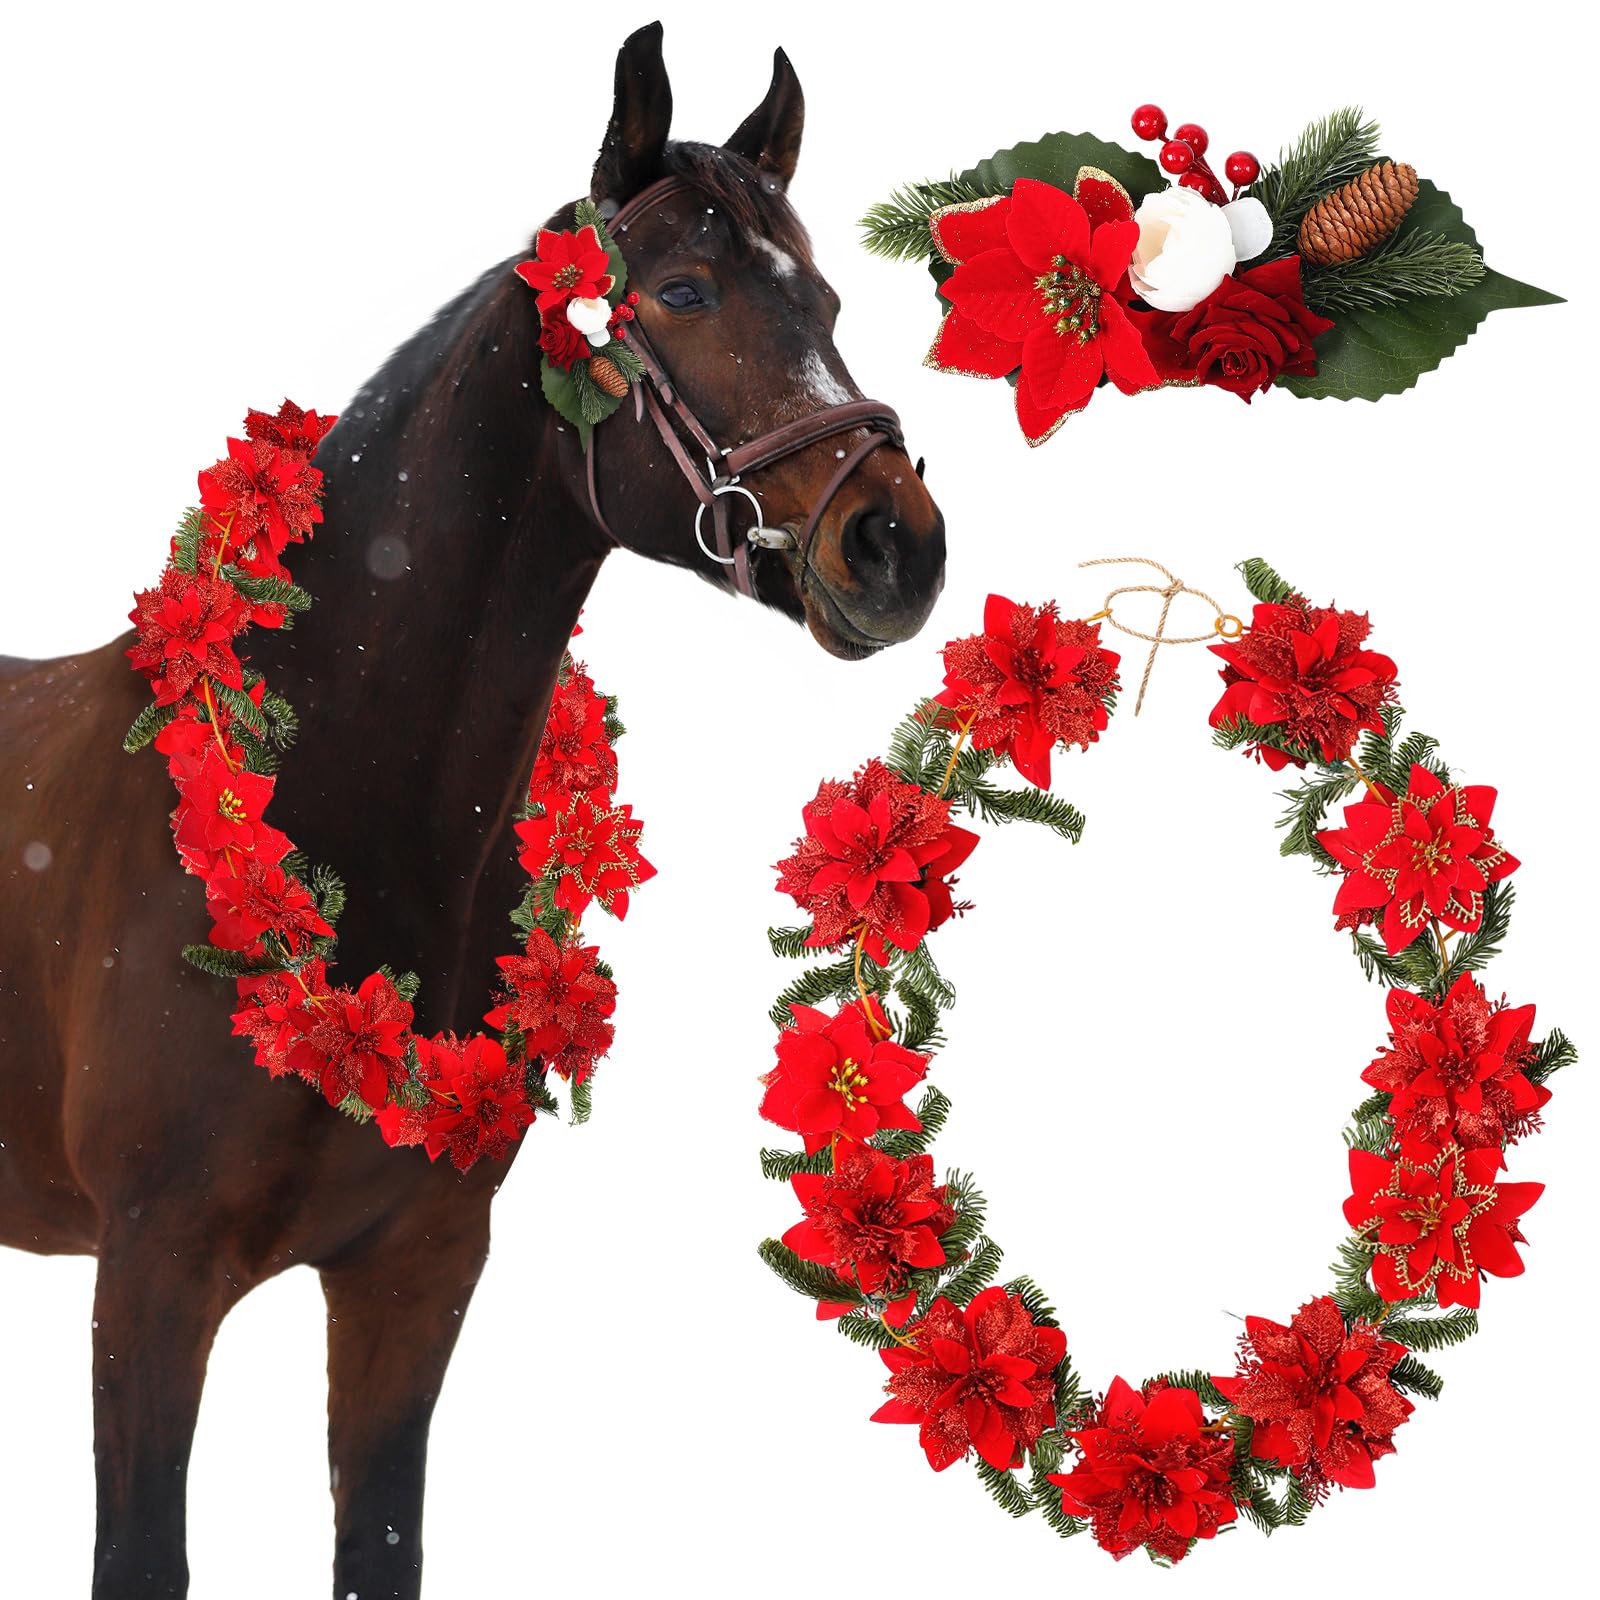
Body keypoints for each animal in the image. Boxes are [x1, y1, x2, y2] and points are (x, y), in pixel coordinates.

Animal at [0, 23, 944, 1598]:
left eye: (823, 297)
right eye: (682, 292)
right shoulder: (149, 1278)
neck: (320, 802)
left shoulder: (417, 1271)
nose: (896, 545)